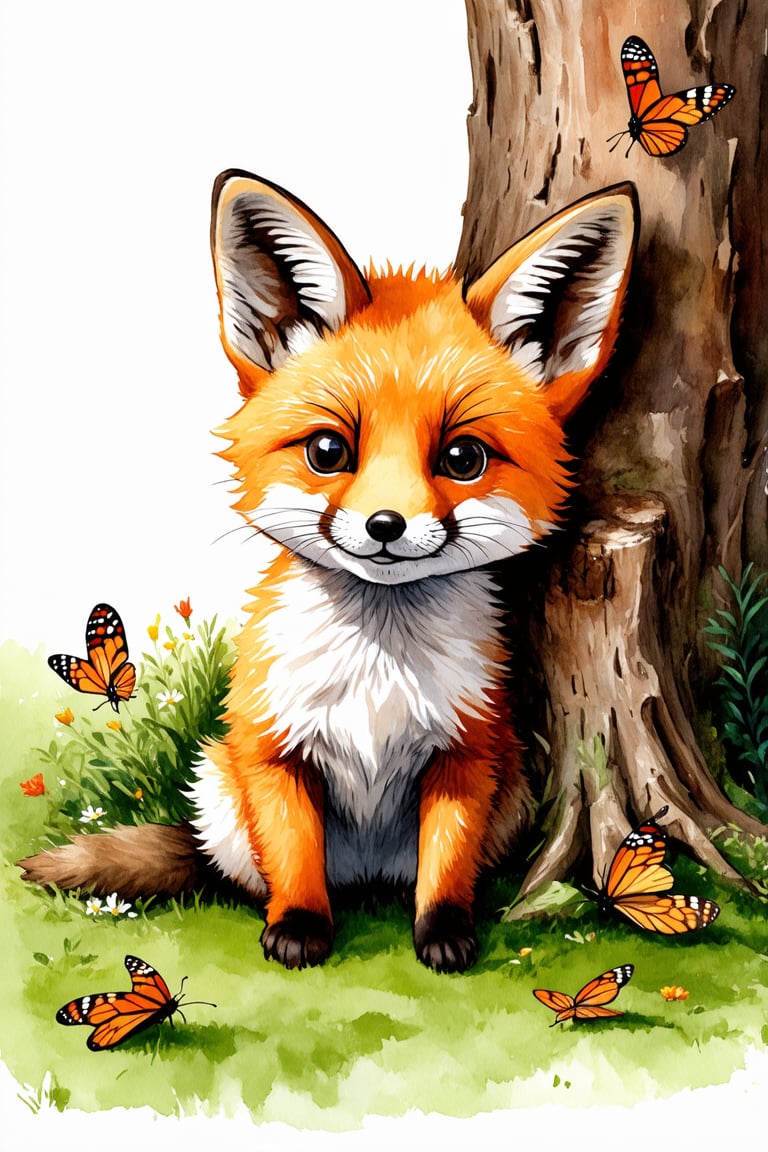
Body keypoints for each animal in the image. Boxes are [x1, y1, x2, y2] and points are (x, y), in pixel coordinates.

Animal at [19, 170, 637, 972]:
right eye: (327, 450)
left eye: (462, 458)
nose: (385, 526)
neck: (377, 675)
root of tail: (367, 877)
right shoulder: (272, 751)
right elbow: (292, 855)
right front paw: (299, 927)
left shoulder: (466, 752)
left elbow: (446, 863)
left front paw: (443, 933)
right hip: (216, 785)